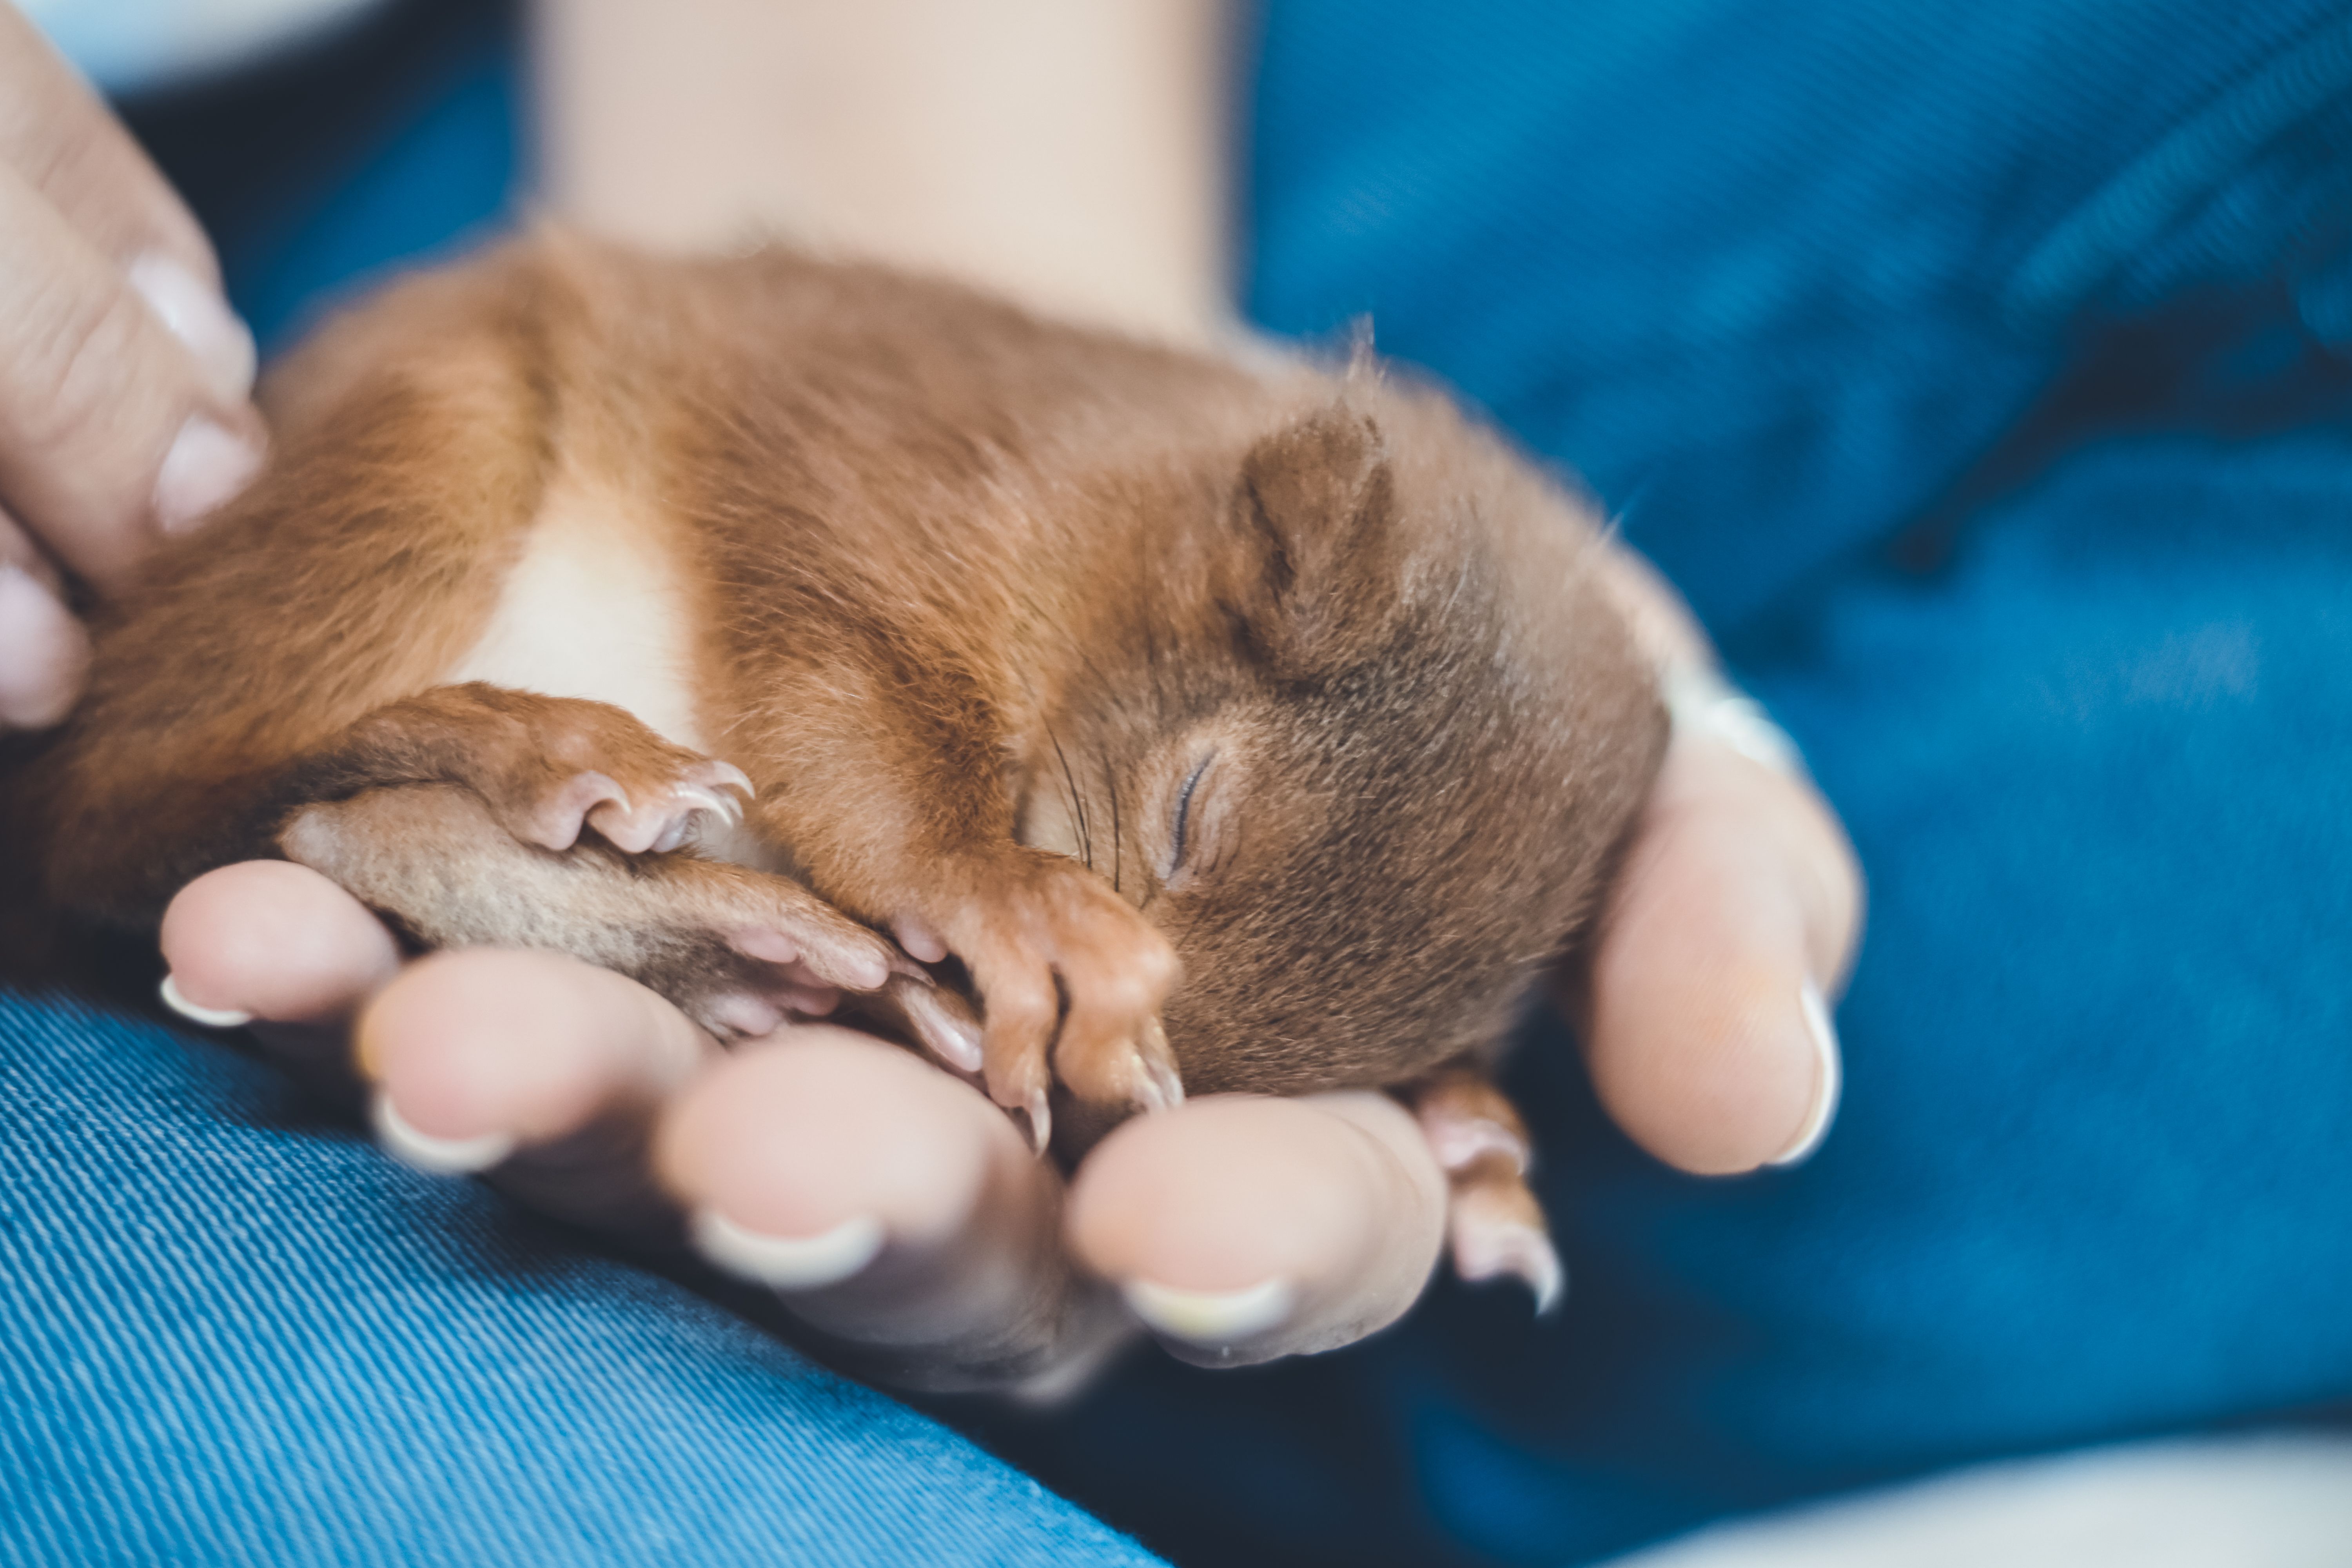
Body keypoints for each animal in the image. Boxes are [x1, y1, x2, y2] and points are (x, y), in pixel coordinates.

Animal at [14, 231, 1666, 1306]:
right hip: (423, 456)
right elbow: (852, 739)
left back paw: (752, 948)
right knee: (146, 807)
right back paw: (538, 748)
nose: (1099, 1104)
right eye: (1192, 811)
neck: (1118, 516)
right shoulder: (874, 503)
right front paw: (1014, 904)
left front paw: (1476, 1136)